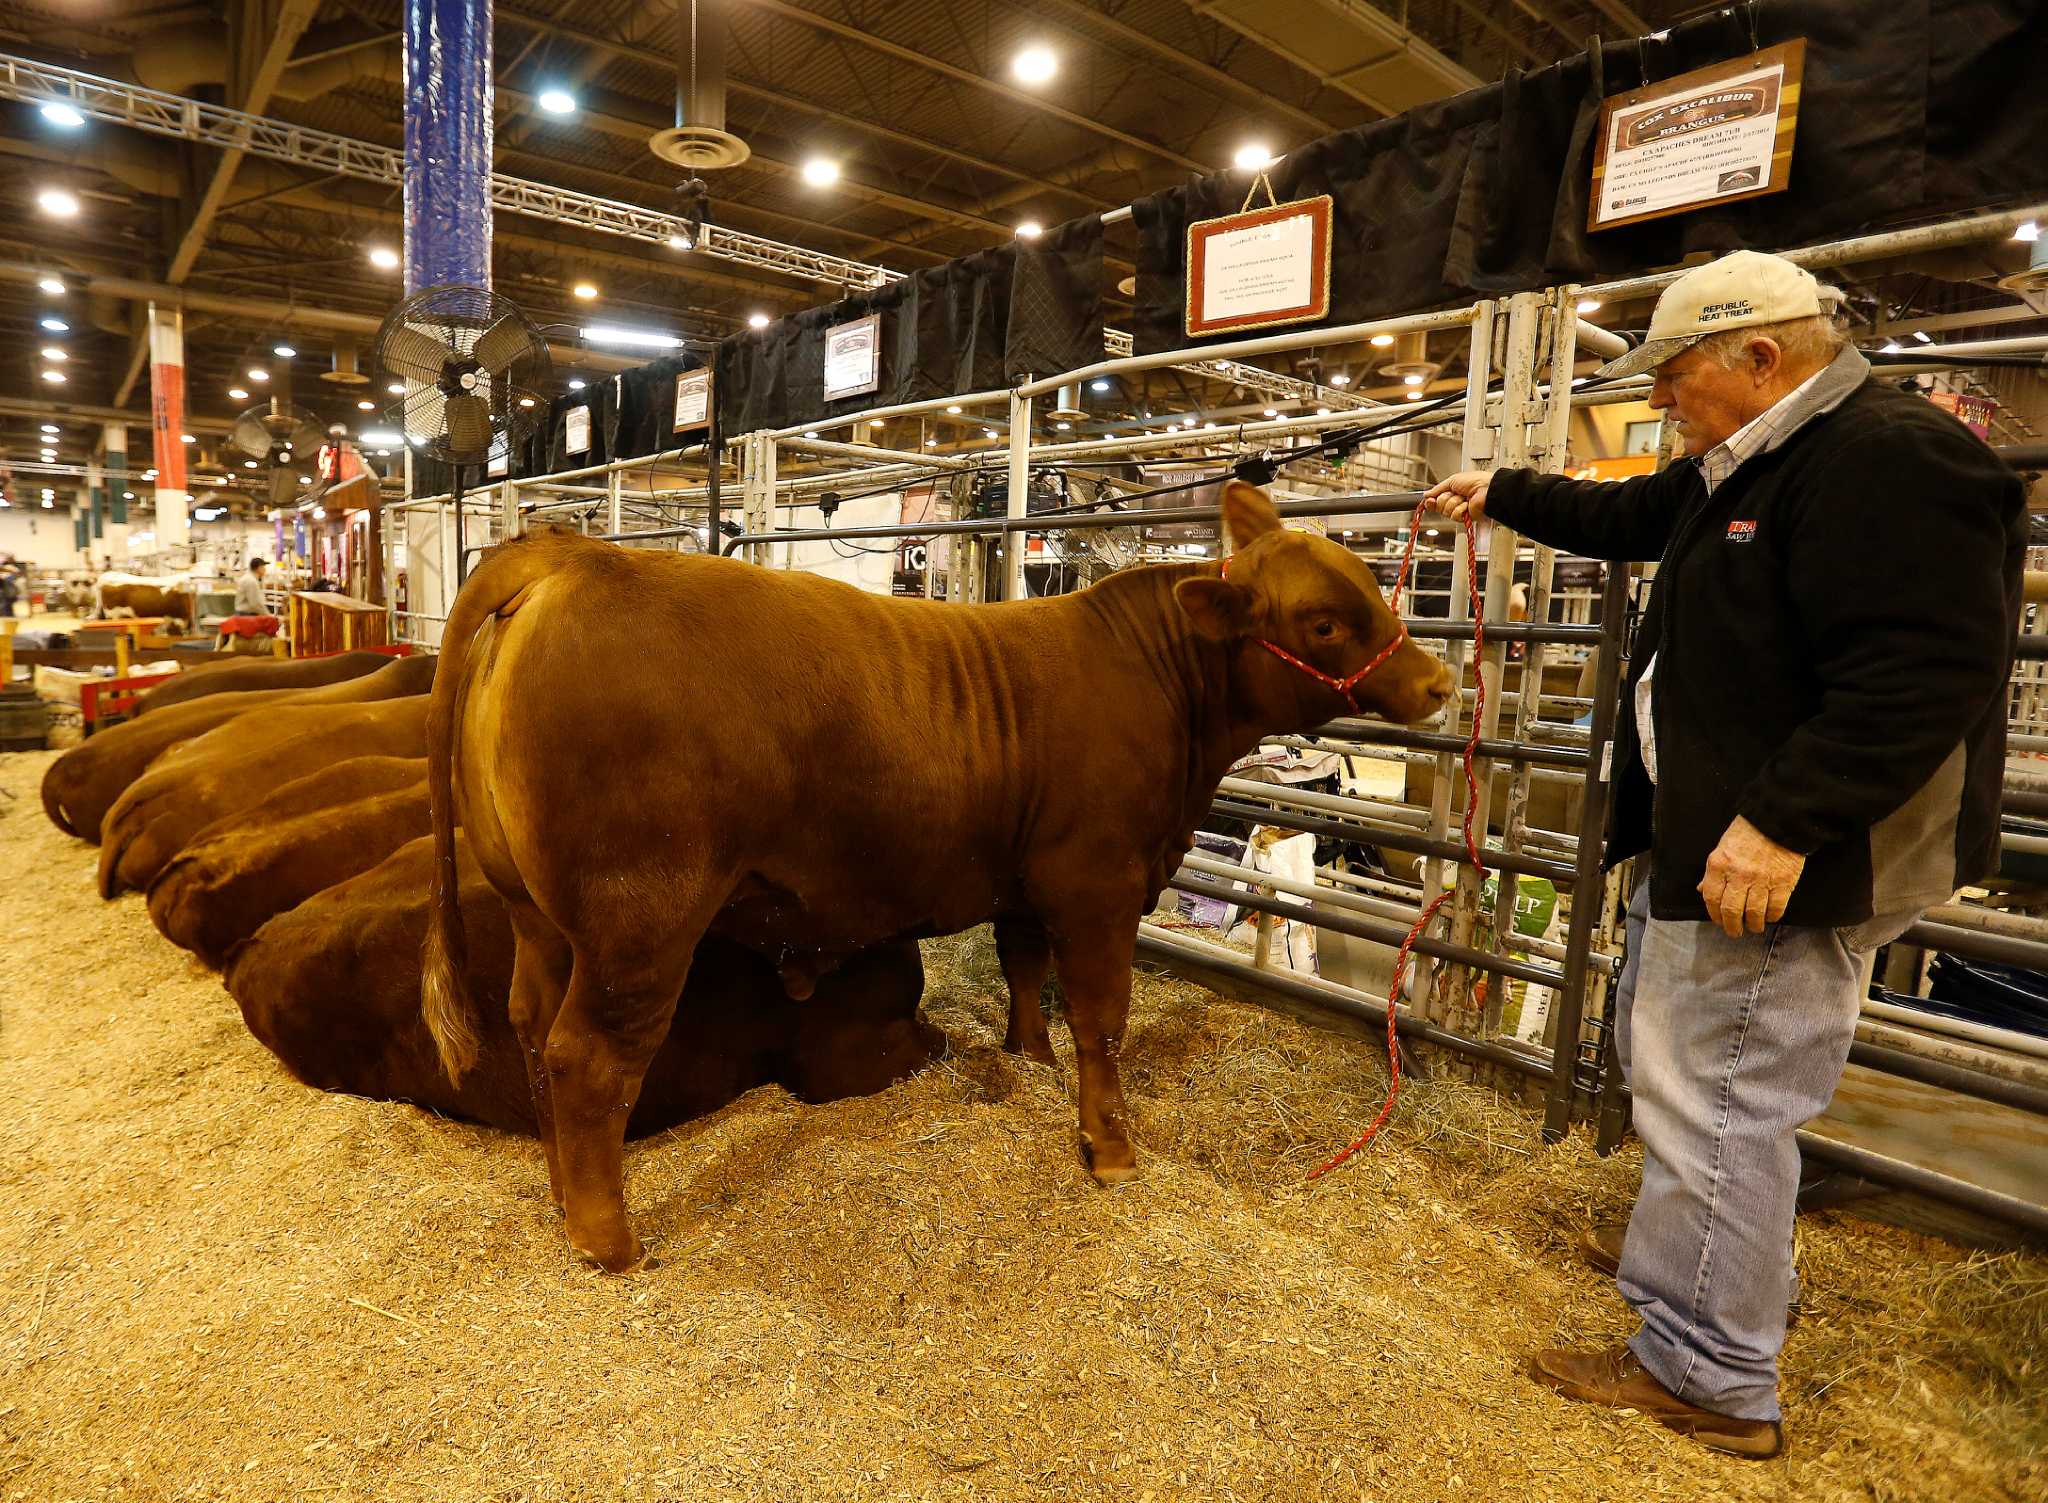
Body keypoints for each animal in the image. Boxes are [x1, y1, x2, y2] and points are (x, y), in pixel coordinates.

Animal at [420, 482, 1456, 1270]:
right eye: (1324, 621)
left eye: (1373, 585)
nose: (1440, 683)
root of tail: (570, 558)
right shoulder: (1100, 879)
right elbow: (1103, 1018)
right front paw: (1110, 1146)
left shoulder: (1033, 879)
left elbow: (1024, 970)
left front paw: (1029, 1060)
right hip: (640, 920)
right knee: (589, 1057)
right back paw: (610, 1239)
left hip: (536, 914)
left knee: (530, 1024)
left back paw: (563, 1196)